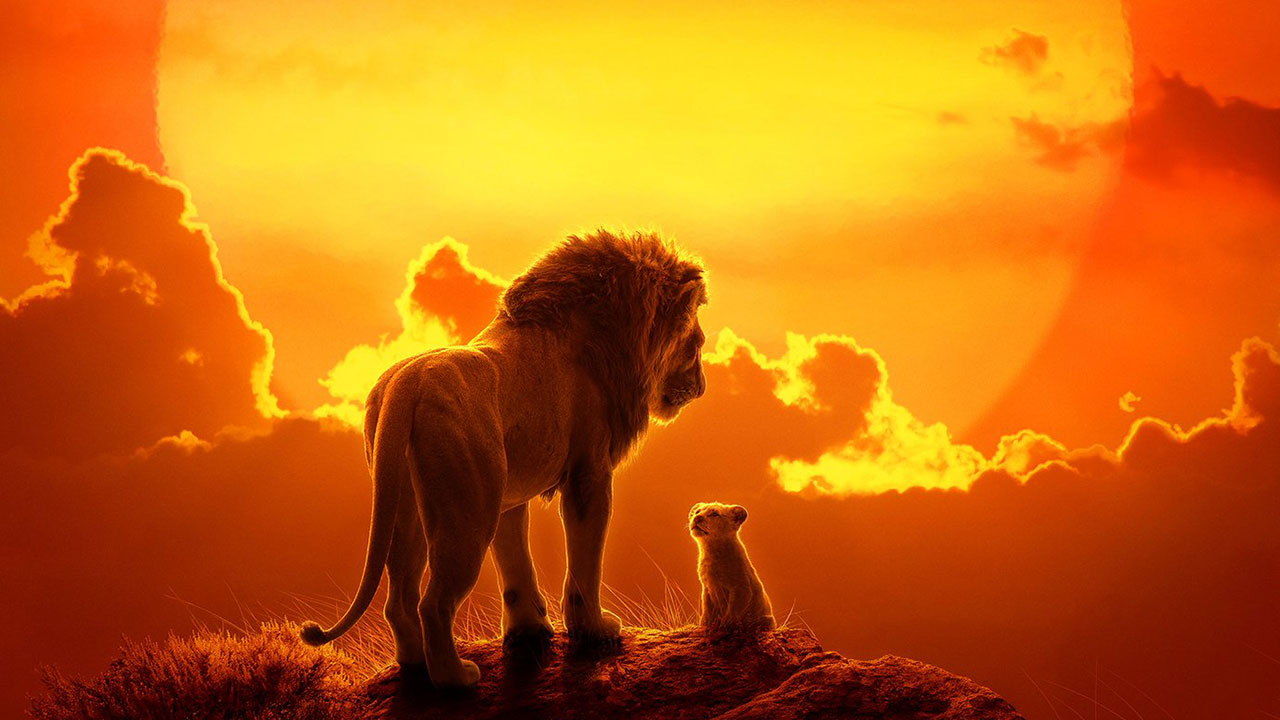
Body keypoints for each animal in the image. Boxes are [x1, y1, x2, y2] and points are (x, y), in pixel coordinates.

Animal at [301, 230, 708, 688]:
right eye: (696, 345)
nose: (702, 387)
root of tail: (406, 385)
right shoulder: (589, 472)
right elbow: (585, 562)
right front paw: (595, 630)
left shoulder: (508, 494)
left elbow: (515, 564)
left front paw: (529, 630)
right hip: (467, 513)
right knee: (434, 603)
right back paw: (455, 678)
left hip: (407, 506)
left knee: (400, 599)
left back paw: (415, 666)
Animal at [689, 502, 775, 632]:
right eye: (697, 511)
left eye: (715, 514)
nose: (697, 518)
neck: (711, 550)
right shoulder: (707, 588)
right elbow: (706, 609)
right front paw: (705, 624)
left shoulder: (741, 587)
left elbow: (733, 610)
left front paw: (726, 625)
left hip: (767, 619)